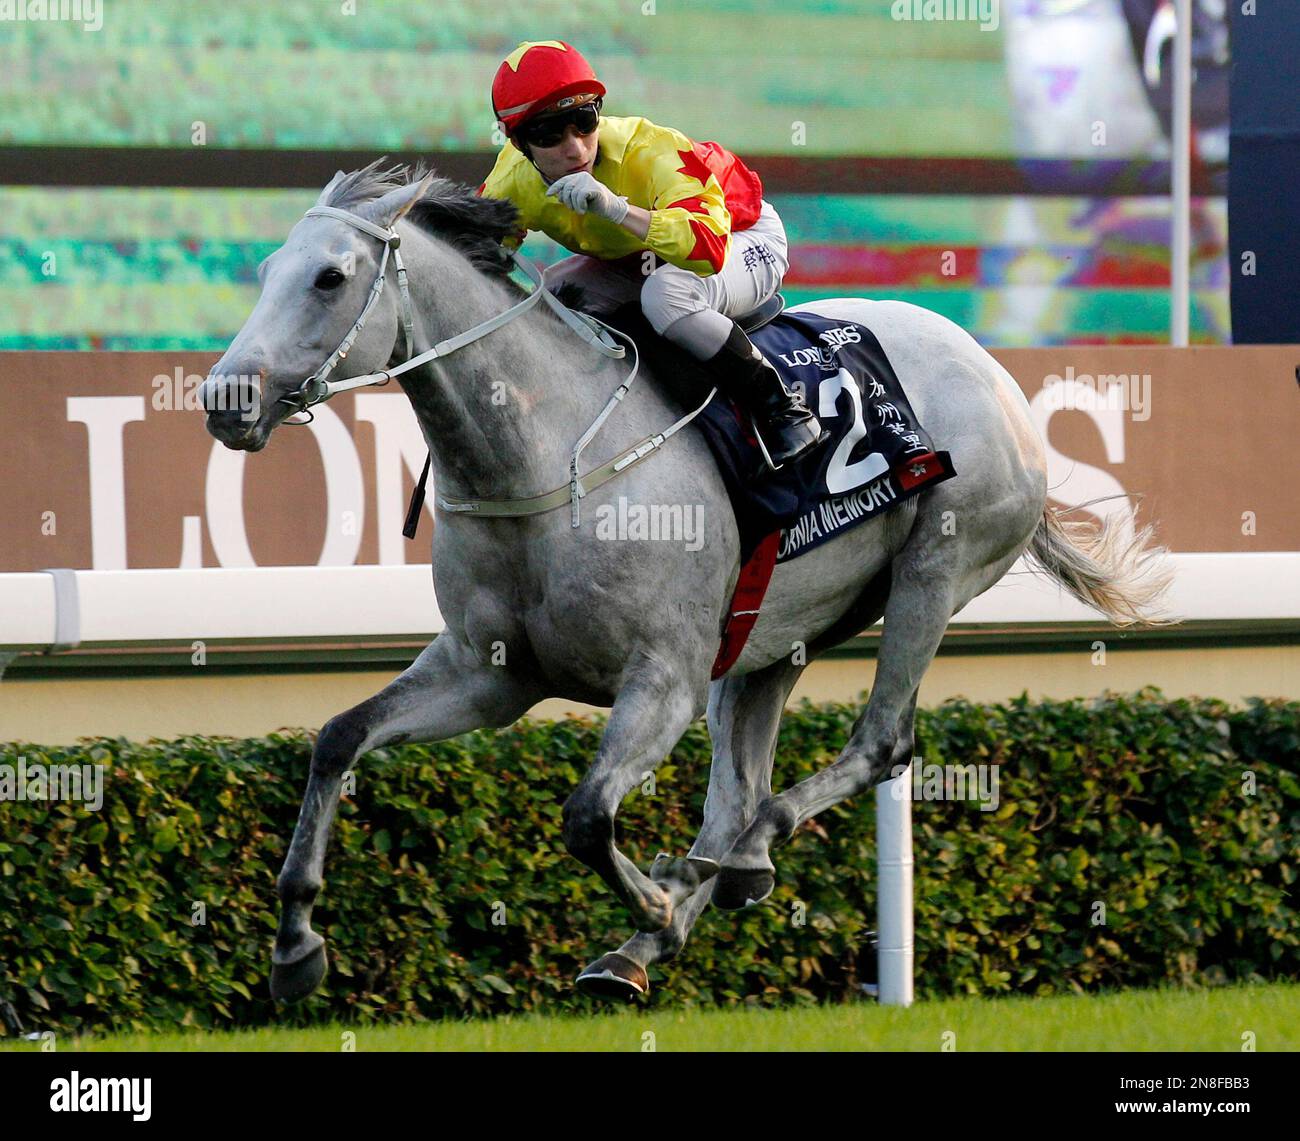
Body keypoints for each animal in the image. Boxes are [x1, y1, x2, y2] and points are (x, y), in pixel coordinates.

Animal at [201, 161, 1171, 1003]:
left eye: (329, 277)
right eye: (267, 271)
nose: (225, 398)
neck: (543, 453)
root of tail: (995, 373)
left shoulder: (662, 675)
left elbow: (587, 815)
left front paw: (659, 902)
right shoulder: (489, 674)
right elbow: (337, 737)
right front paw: (295, 944)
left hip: (937, 566)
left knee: (876, 744)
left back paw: (738, 862)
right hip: (773, 633)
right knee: (737, 790)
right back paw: (669, 919)